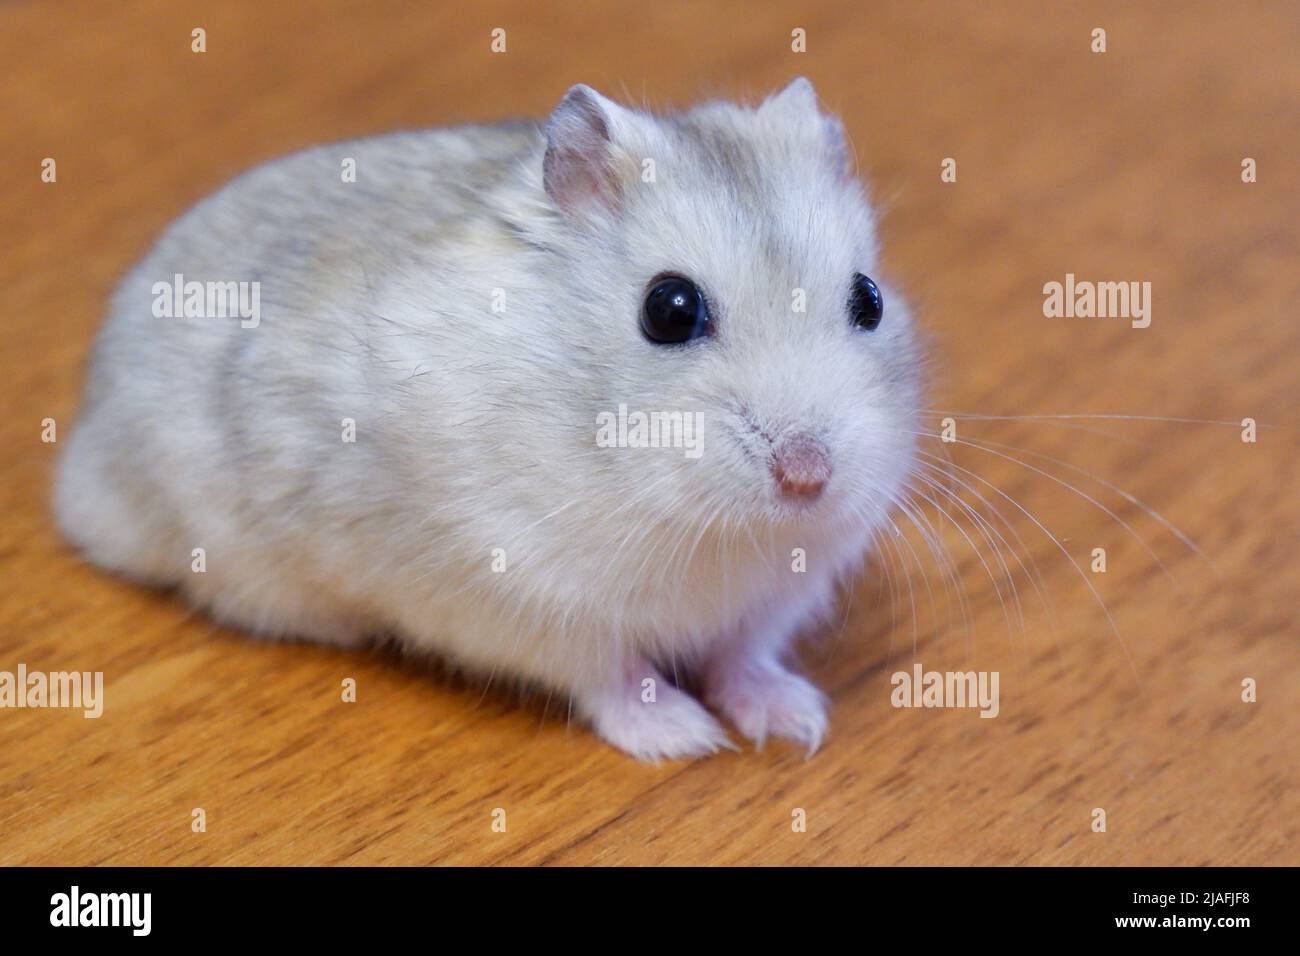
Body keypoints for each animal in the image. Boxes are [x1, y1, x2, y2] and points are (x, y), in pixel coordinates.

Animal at [54, 77, 923, 761]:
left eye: (870, 299)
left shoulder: (777, 595)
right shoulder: (535, 603)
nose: (808, 477)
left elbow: (741, 658)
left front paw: (798, 722)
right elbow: (612, 676)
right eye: (669, 309)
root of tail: (82, 442)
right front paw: (688, 738)